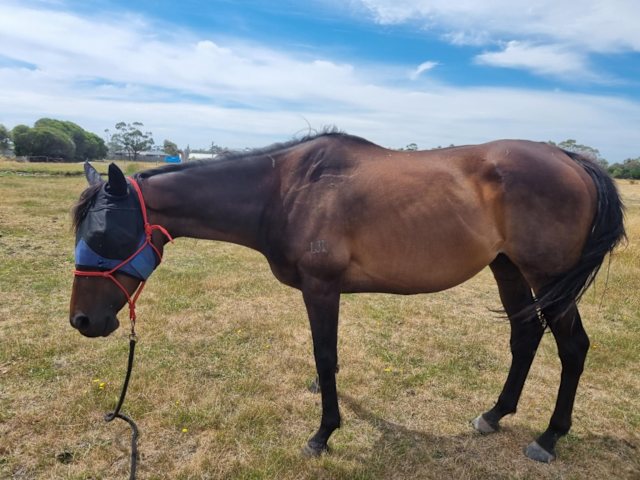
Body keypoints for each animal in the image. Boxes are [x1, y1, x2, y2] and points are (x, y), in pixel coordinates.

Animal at [69, 131, 625, 463]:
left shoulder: (322, 288)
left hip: (549, 278)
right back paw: (493, 415)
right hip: (507, 268)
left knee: (573, 347)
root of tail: (573, 160)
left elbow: (325, 356)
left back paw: (548, 438)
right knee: (525, 334)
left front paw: (323, 433)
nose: (82, 322)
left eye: (102, 236)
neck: (285, 192)